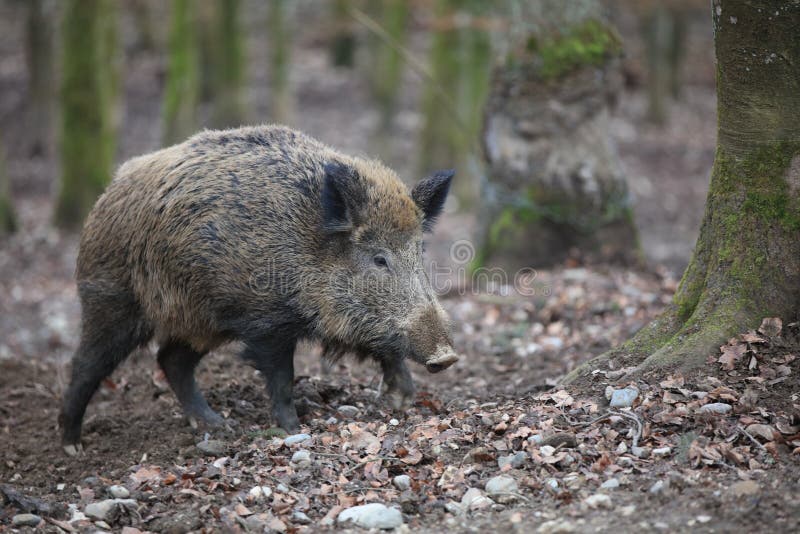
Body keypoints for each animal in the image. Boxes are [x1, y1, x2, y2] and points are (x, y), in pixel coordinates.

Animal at [59, 125, 459, 455]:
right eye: (379, 259)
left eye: (419, 251)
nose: (447, 356)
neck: (309, 248)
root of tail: (109, 192)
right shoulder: (266, 322)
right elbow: (282, 379)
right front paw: (293, 429)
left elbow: (386, 347)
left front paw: (402, 400)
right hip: (111, 299)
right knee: (86, 363)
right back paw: (71, 445)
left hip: (202, 322)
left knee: (171, 358)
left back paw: (216, 425)